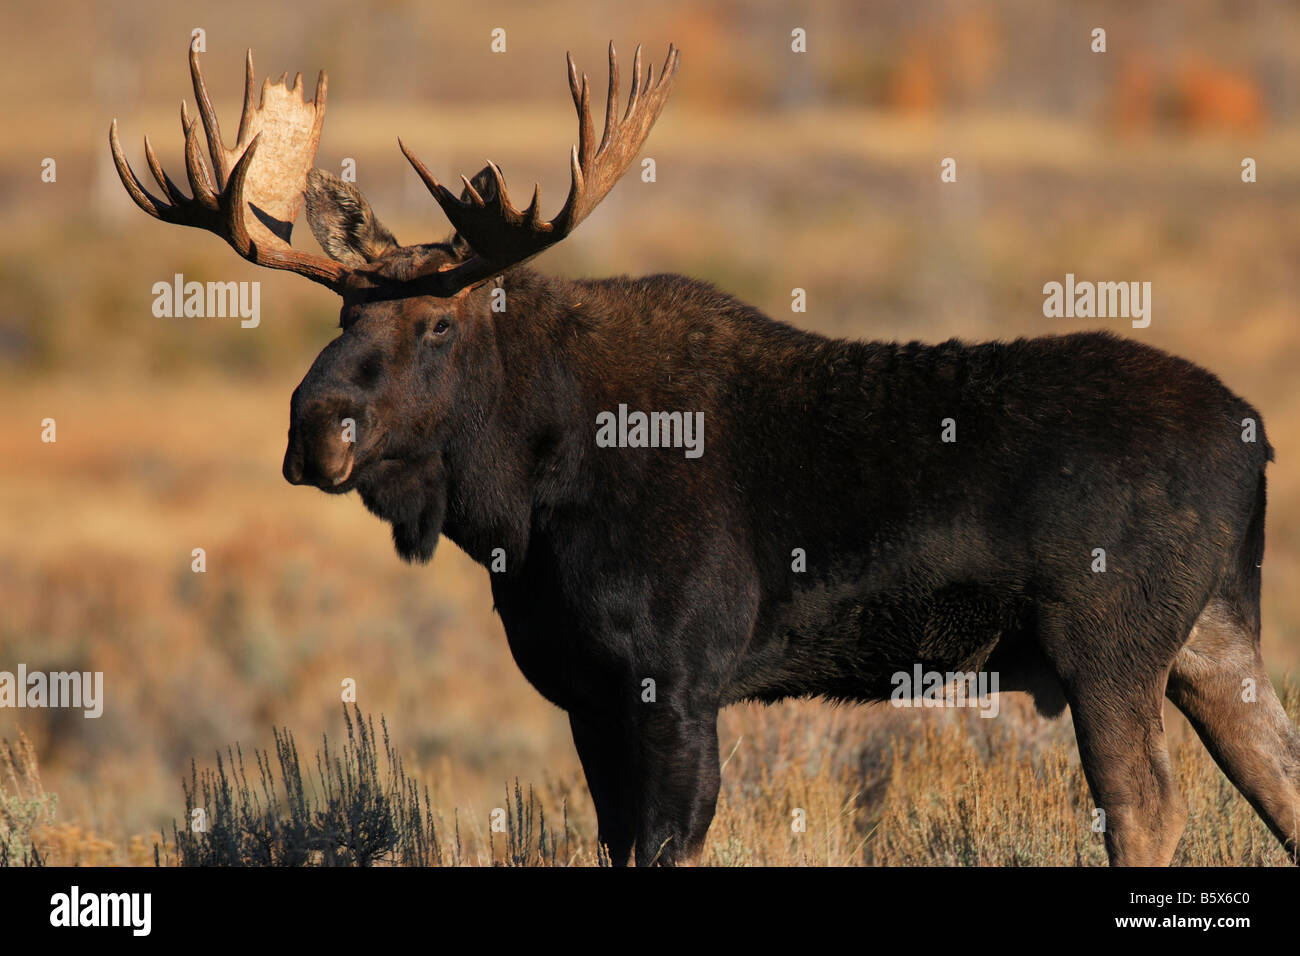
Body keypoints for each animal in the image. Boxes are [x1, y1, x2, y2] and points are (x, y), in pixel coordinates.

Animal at [110, 42, 1300, 866]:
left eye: (440, 320)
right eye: (343, 310)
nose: (314, 426)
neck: (519, 510)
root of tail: (1256, 434)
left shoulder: (677, 679)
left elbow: (667, 843)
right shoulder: (585, 693)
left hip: (1110, 644)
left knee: (1147, 807)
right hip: (1212, 637)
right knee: (1277, 777)